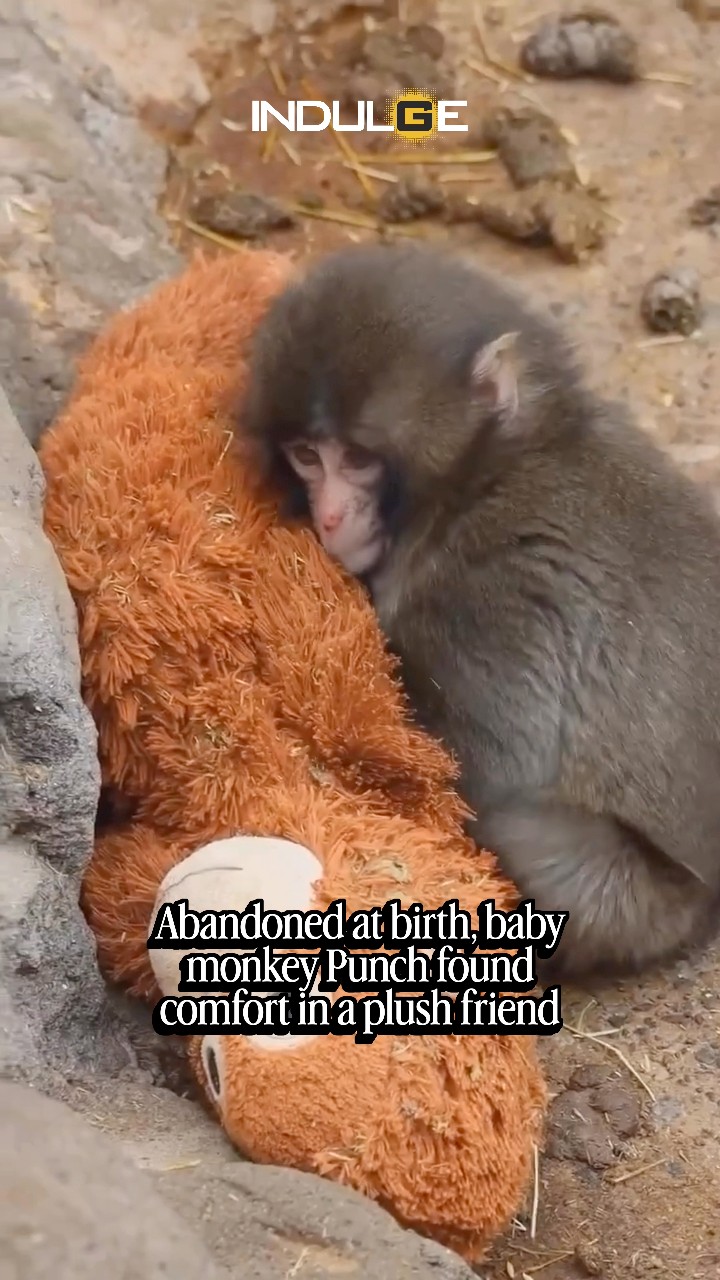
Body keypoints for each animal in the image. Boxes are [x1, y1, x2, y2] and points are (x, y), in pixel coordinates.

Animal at [237, 240, 720, 983]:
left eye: (359, 458)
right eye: (307, 456)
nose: (331, 516)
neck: (485, 473)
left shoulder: (489, 589)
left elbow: (488, 766)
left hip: (641, 901)